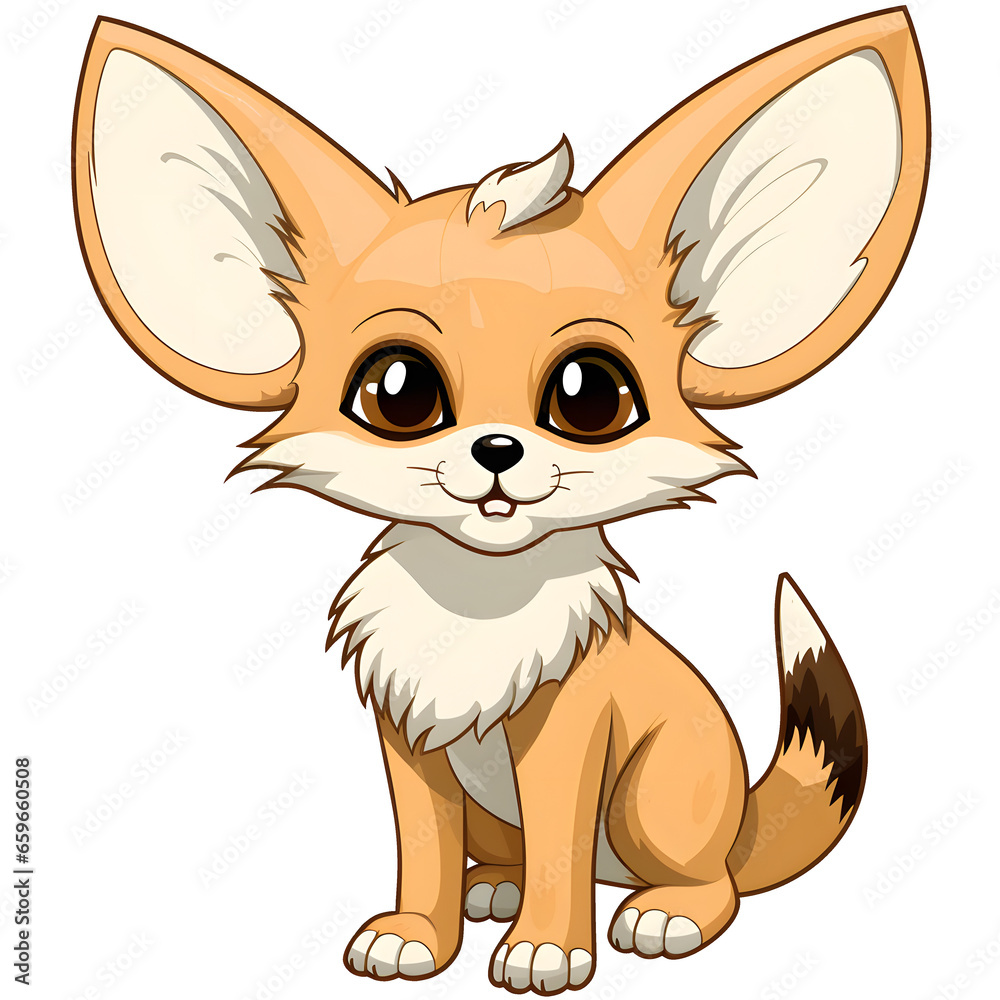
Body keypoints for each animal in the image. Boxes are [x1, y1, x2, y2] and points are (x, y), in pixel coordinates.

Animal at [73, 9, 928, 995]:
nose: (496, 450)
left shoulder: (567, 734)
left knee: (710, 882)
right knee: (511, 857)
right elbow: (425, 851)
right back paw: (496, 890)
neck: (475, 611)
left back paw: (661, 913)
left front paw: (548, 949)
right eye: (397, 393)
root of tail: (742, 818)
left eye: (591, 397)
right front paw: (416, 934)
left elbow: (558, 846)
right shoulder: (408, 741)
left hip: (653, 803)